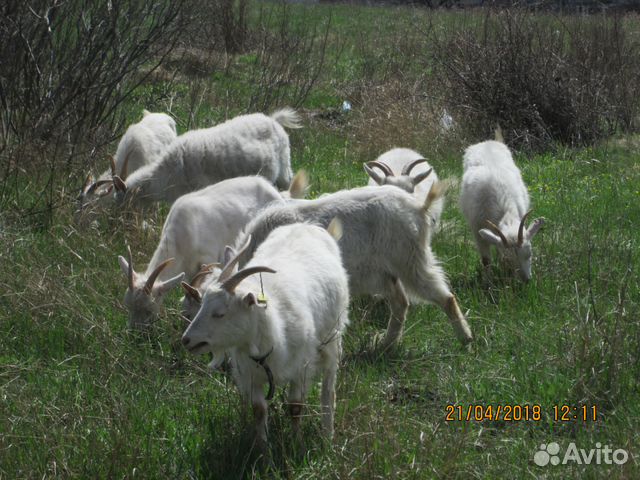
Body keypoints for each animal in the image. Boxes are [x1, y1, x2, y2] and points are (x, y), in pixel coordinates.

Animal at [118, 174, 306, 328]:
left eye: (148, 309)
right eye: (128, 306)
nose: (135, 335)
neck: (182, 236)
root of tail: (270, 187)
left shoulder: (207, 258)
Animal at [181, 221, 350, 444]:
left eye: (219, 313)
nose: (186, 340)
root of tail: (307, 225)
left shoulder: (301, 366)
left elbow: (295, 406)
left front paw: (296, 443)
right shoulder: (250, 373)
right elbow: (259, 410)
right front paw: (263, 449)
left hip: (333, 336)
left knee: (328, 389)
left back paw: (328, 434)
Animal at [234, 184, 473, 350]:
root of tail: (420, 208)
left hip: (409, 259)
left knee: (444, 297)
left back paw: (465, 338)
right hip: (383, 273)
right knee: (400, 303)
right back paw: (385, 345)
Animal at [459, 140, 545, 282]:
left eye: (529, 254)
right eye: (509, 260)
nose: (526, 280)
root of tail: (485, 142)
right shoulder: (477, 229)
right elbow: (486, 260)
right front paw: (488, 282)